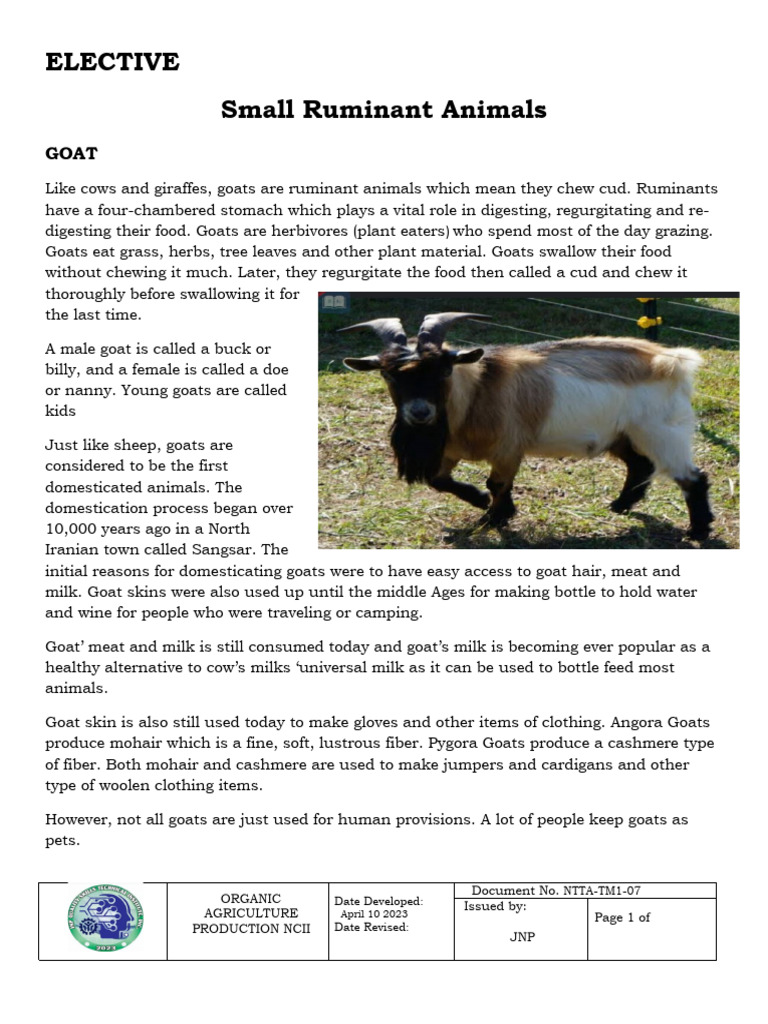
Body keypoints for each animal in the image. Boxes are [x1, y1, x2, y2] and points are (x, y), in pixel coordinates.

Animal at [340, 312, 714, 540]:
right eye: (388, 374)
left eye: (444, 369)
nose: (419, 412)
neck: (476, 392)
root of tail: (674, 361)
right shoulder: (451, 451)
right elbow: (439, 480)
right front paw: (482, 503)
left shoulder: (509, 447)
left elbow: (497, 483)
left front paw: (494, 517)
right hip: (622, 435)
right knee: (640, 465)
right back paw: (620, 506)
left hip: (662, 432)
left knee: (692, 478)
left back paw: (697, 531)